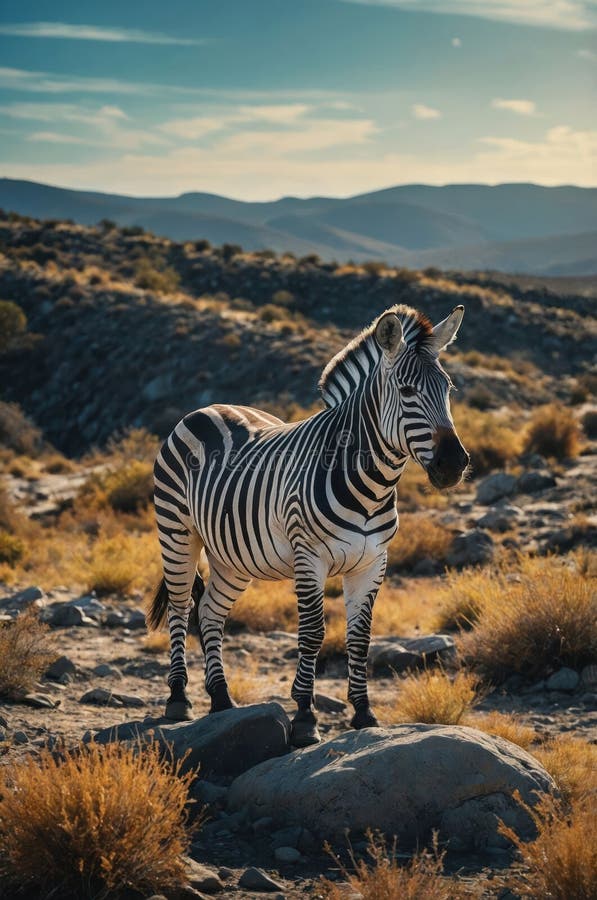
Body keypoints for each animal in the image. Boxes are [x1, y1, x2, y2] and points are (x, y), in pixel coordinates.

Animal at [147, 303, 469, 746]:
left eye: (448, 389)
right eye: (407, 392)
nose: (454, 464)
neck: (371, 484)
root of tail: (207, 408)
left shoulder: (373, 562)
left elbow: (360, 637)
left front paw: (364, 713)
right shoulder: (309, 557)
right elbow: (313, 633)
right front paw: (304, 717)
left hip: (232, 555)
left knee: (210, 611)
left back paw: (222, 700)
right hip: (176, 530)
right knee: (181, 607)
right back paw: (179, 698)